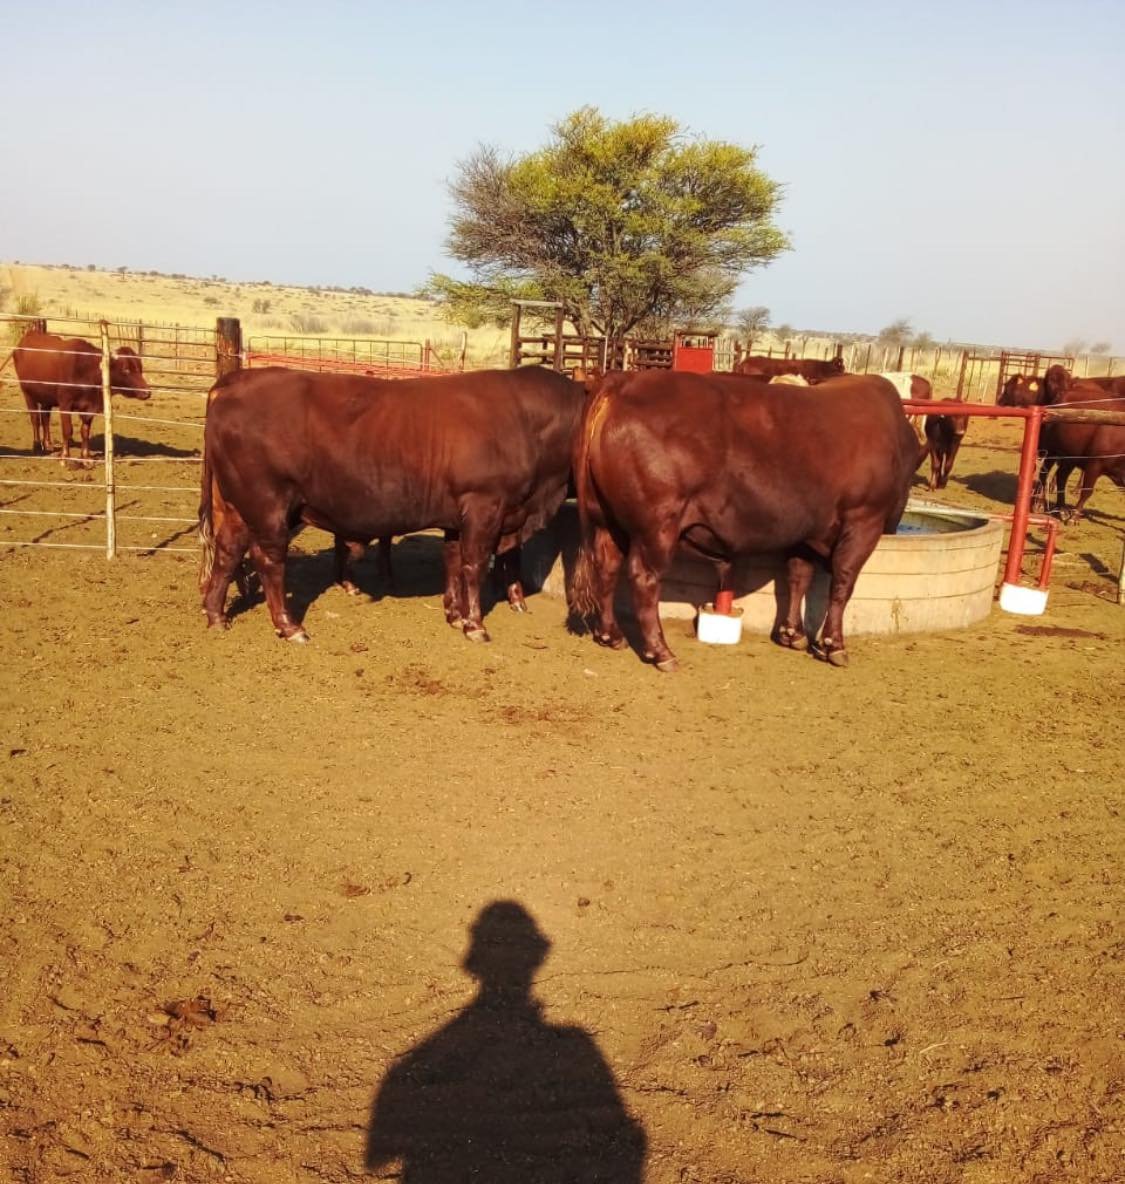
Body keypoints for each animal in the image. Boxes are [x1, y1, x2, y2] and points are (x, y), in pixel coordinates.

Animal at [12, 330, 150, 463]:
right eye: (126, 369)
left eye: (140, 368)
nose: (147, 392)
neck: (86, 370)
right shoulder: (65, 404)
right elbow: (67, 430)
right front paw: (65, 456)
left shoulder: (89, 407)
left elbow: (85, 431)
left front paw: (86, 456)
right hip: (28, 393)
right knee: (35, 419)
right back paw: (36, 446)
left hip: (46, 398)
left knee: (45, 418)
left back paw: (48, 444)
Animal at [199, 366, 584, 642]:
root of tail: (236, 380)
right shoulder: (484, 506)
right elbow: (474, 565)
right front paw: (475, 625)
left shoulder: (458, 517)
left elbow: (453, 562)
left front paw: (454, 613)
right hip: (269, 505)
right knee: (268, 560)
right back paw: (289, 626)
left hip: (237, 507)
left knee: (227, 552)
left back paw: (216, 615)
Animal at [570, 370, 919, 671]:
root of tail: (625, 380)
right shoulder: (864, 519)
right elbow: (843, 582)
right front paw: (835, 645)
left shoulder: (805, 530)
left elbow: (798, 576)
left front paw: (792, 634)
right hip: (658, 524)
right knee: (644, 578)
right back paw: (662, 652)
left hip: (608, 520)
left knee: (608, 567)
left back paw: (611, 635)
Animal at [999, 366, 1125, 519]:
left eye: (1007, 388)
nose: (999, 401)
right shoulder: (1093, 464)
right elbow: (1086, 490)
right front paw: (1074, 515)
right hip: (1054, 451)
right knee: (1047, 475)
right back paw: (1044, 504)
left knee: (1058, 476)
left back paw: (1059, 506)